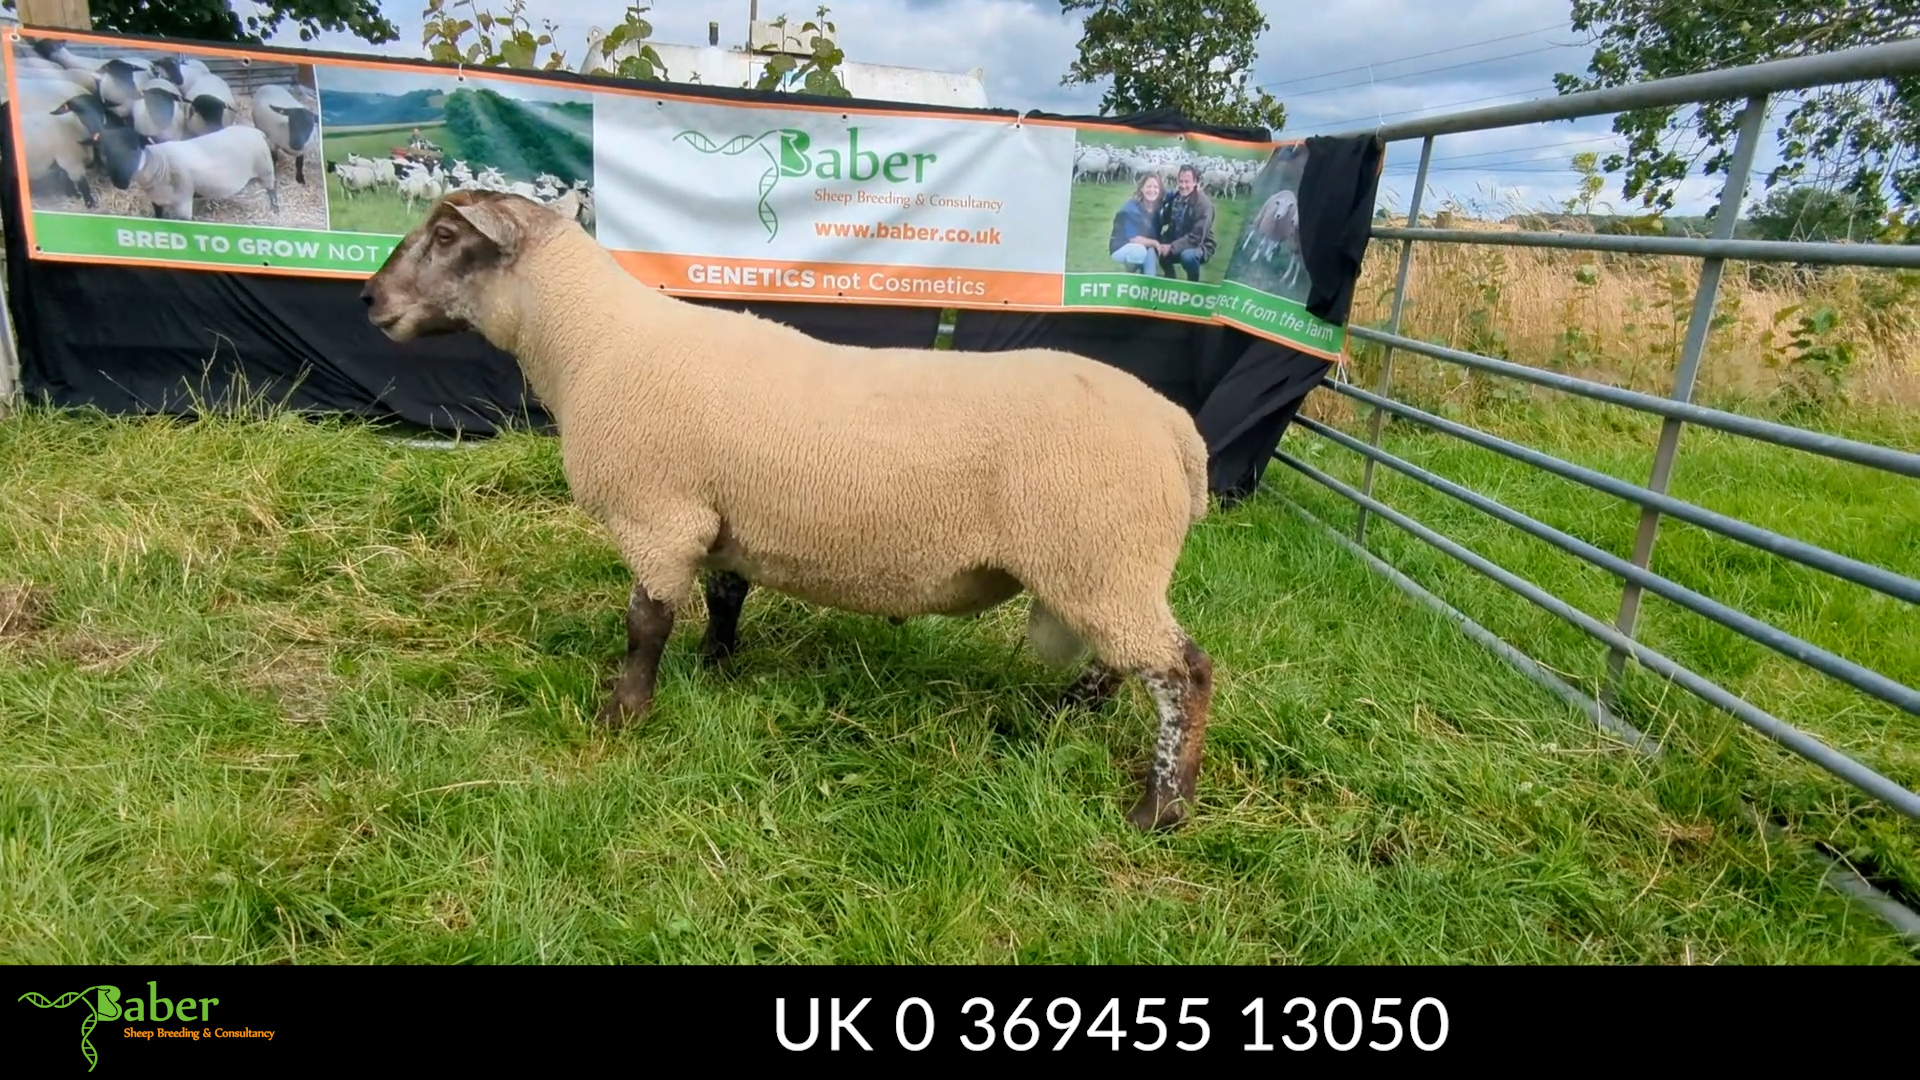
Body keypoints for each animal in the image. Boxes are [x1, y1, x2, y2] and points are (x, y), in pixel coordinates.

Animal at [96, 124, 278, 221]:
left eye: (134, 149)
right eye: (105, 153)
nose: (120, 182)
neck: (158, 163)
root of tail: (255, 131)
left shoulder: (183, 203)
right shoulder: (156, 200)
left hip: (266, 169)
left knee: (272, 190)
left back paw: (275, 209)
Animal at [360, 191, 1218, 832]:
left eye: (446, 236)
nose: (368, 299)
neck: (590, 343)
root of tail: (1179, 431)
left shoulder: (657, 515)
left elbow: (645, 623)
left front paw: (623, 716)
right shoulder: (715, 519)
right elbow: (723, 596)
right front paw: (715, 666)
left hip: (1099, 553)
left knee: (1184, 674)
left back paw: (1160, 808)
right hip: (1105, 565)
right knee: (1122, 659)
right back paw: (1068, 714)